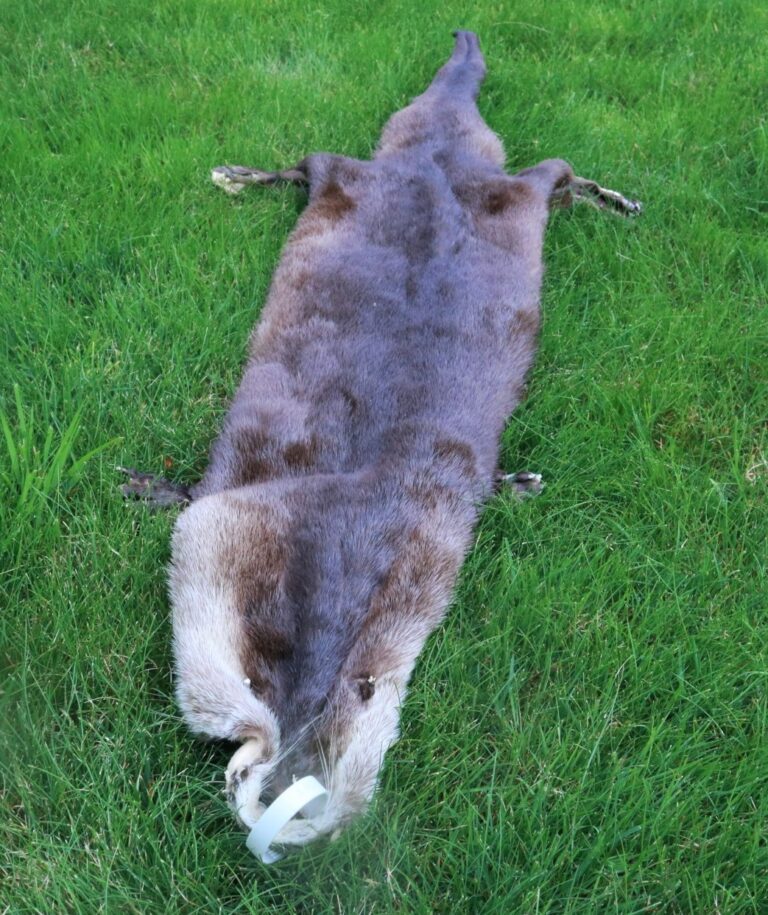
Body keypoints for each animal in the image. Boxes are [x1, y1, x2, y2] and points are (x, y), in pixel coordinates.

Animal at [122, 31, 640, 849]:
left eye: (364, 690)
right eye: (255, 678)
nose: (288, 790)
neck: (350, 496)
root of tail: (437, 153)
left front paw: (519, 483)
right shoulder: (250, 467)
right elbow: (190, 488)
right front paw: (144, 486)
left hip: (489, 191)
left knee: (549, 172)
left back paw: (618, 203)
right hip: (388, 178)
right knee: (327, 162)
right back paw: (236, 175)